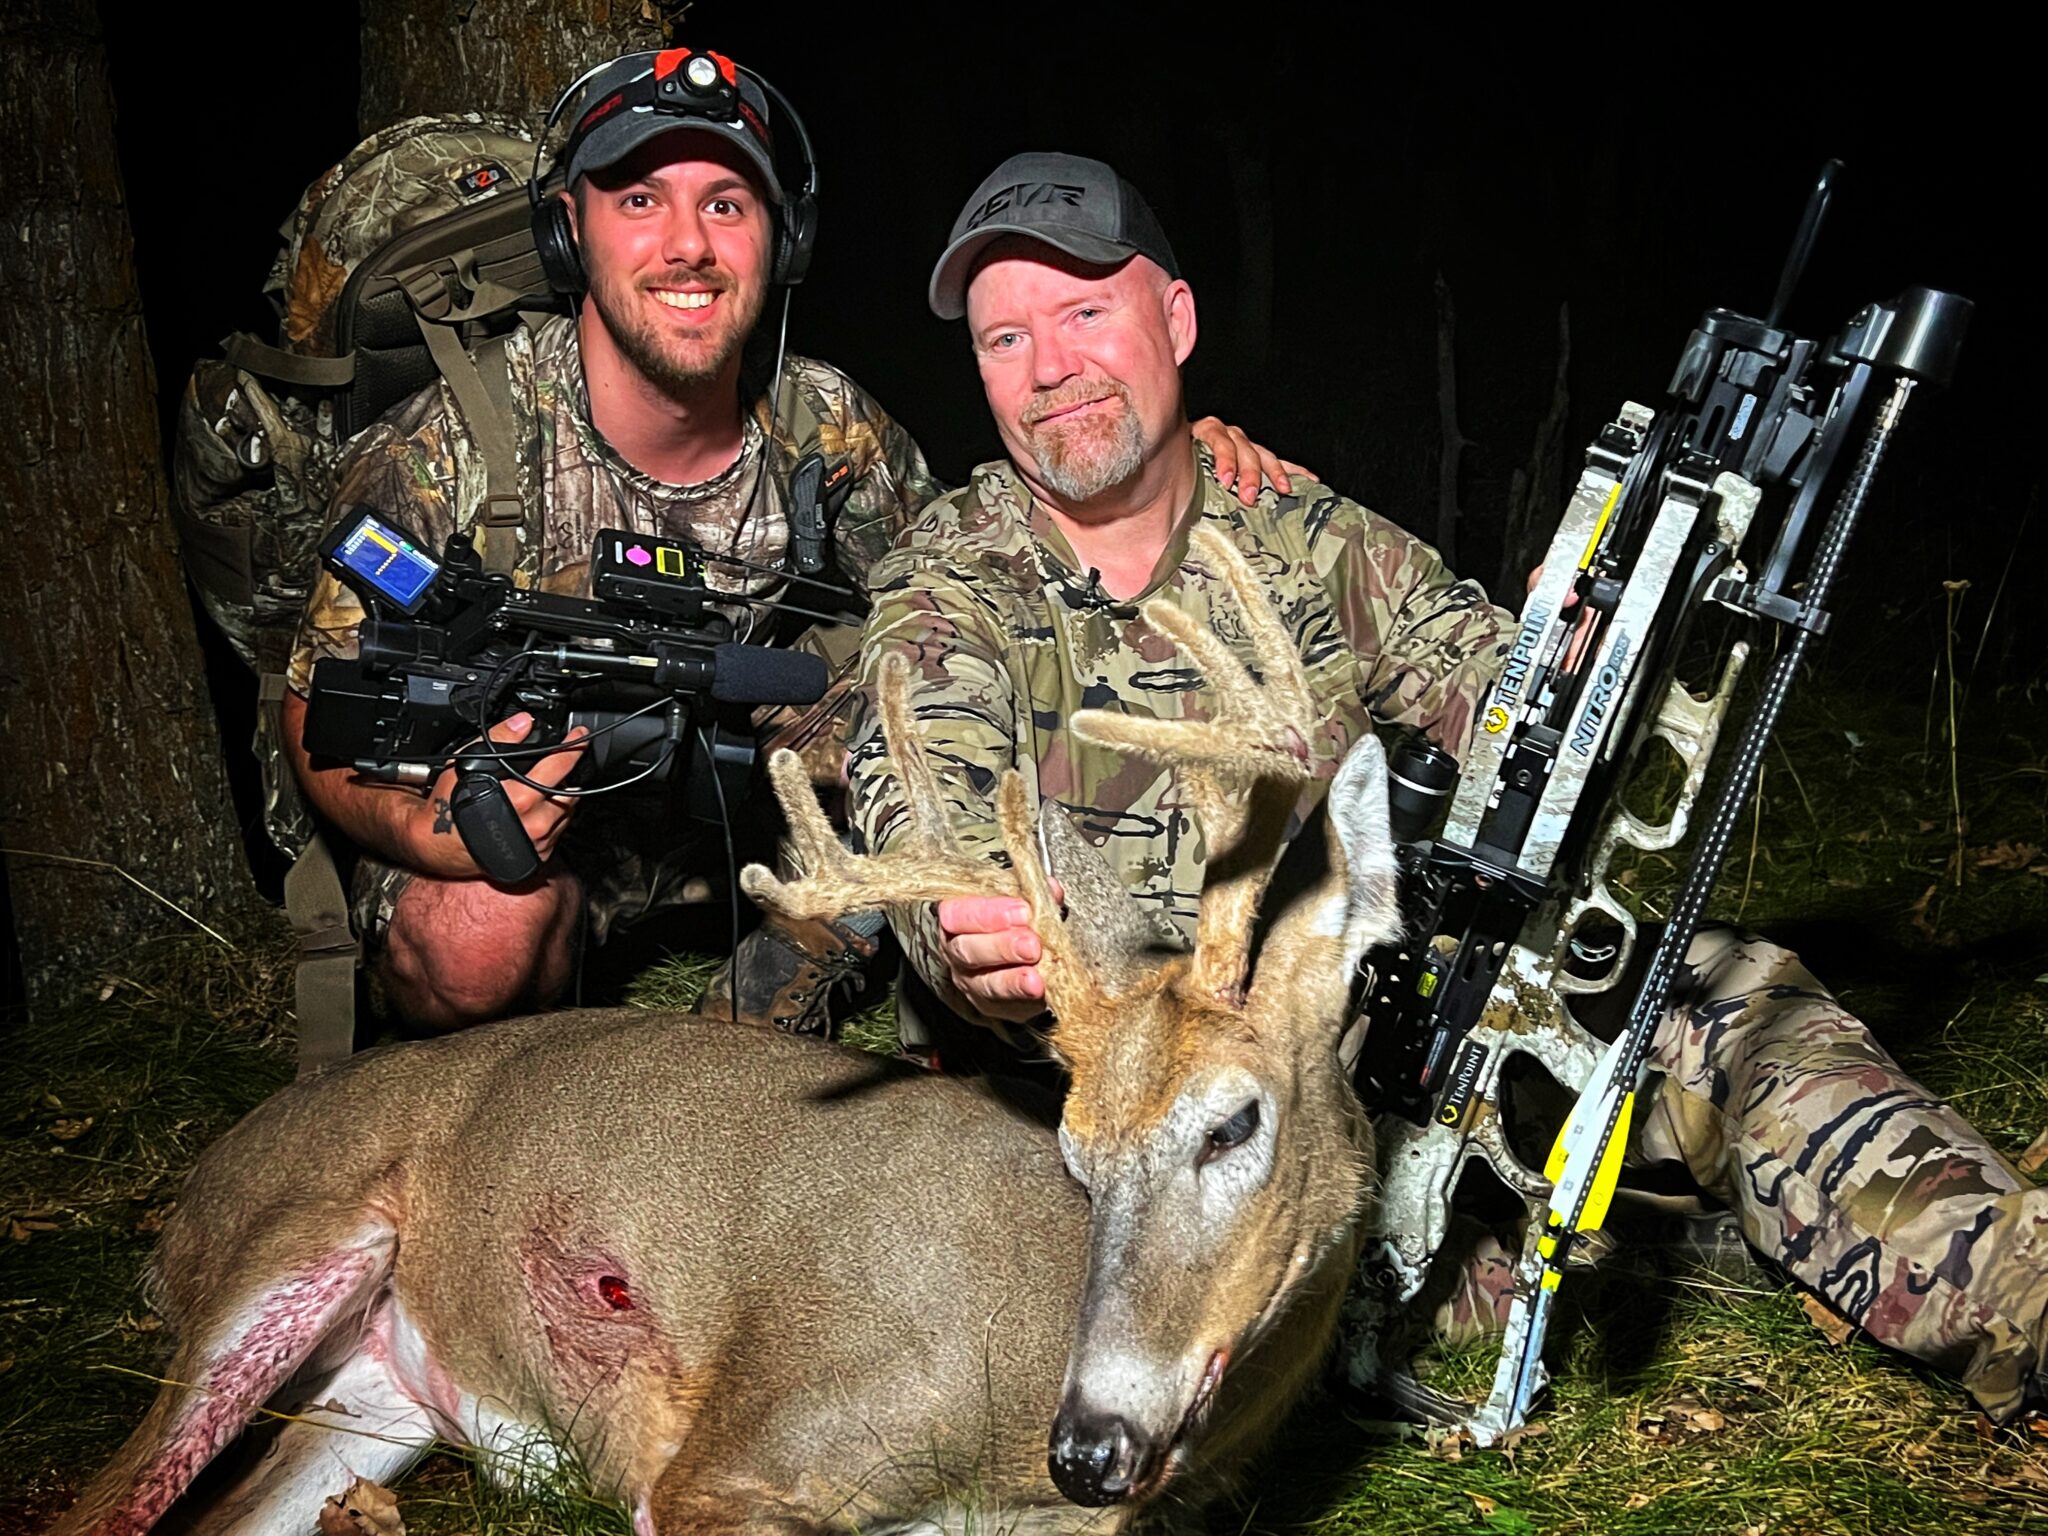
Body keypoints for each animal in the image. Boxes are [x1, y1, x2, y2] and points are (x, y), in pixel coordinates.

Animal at [52, 524, 1401, 1536]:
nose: (1093, 1447)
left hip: (368, 1396)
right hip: (279, 1244)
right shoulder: (744, 1451)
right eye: (1076, 1152)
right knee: (98, 1505)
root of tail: (193, 1185)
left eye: (1233, 1124)